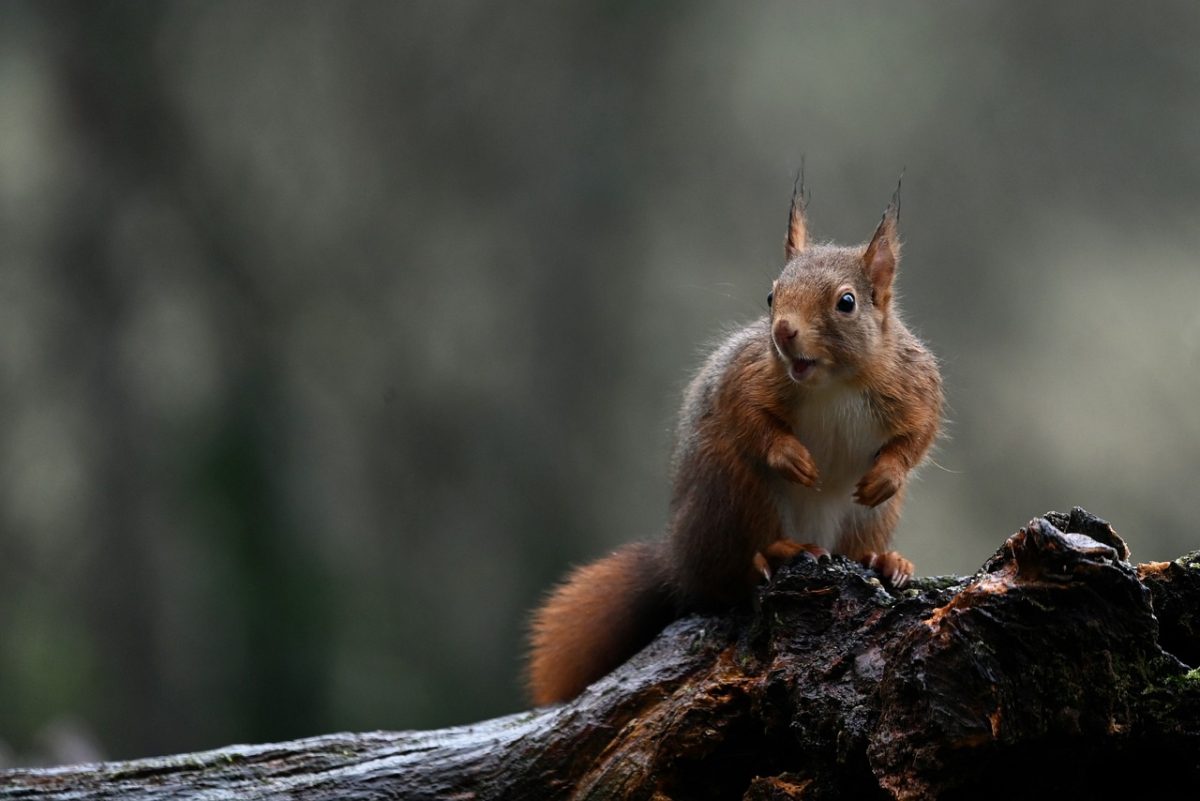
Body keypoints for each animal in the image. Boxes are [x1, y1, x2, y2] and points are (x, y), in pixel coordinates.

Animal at [526, 181, 943, 706]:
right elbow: (747, 416)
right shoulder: (745, 376)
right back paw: (775, 554)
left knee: (850, 547)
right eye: (771, 295)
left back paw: (883, 560)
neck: (833, 383)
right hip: (734, 491)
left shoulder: (915, 383)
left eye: (846, 302)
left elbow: (918, 433)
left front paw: (887, 475)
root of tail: (677, 561)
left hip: (866, 519)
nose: (783, 331)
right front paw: (792, 457)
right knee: (727, 580)